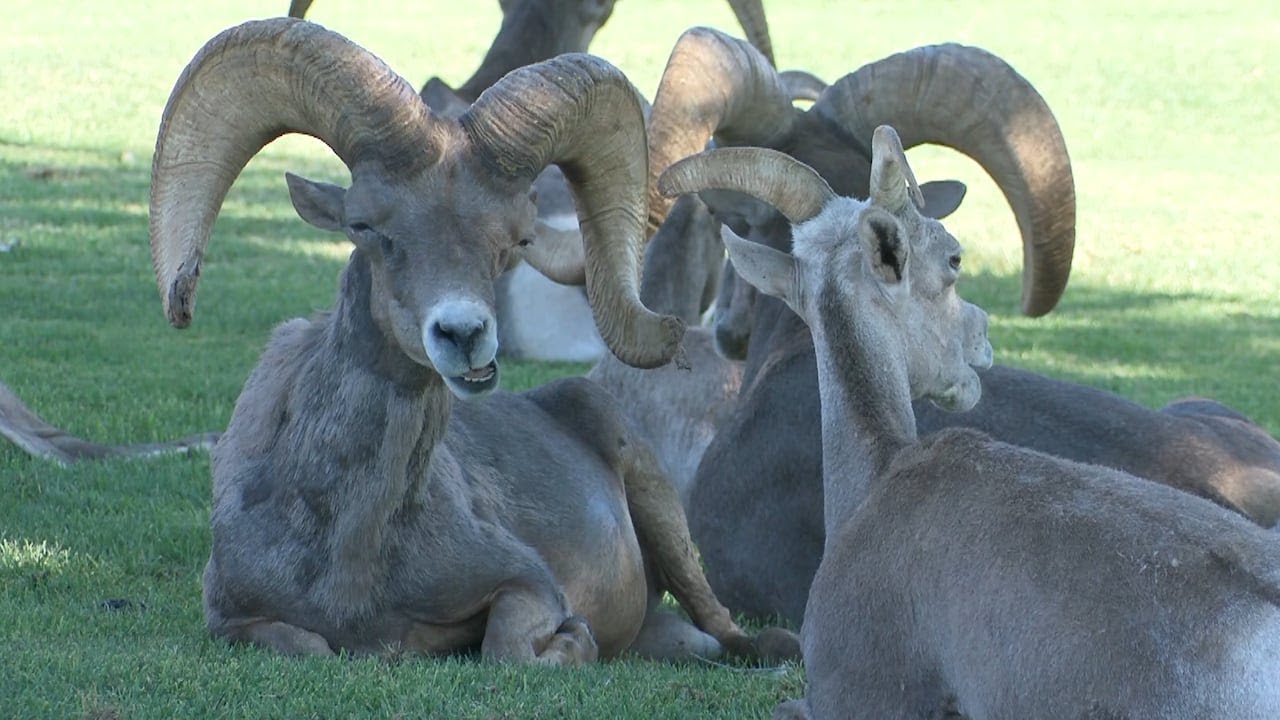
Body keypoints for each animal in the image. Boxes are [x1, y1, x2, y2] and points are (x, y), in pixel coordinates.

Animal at [149, 18, 795, 663]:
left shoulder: (525, 582)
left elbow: (507, 646)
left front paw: (574, 641)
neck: (349, 550)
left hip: (658, 502)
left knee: (727, 629)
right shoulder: (233, 619)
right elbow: (308, 645)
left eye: (515, 240)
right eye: (364, 226)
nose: (464, 335)